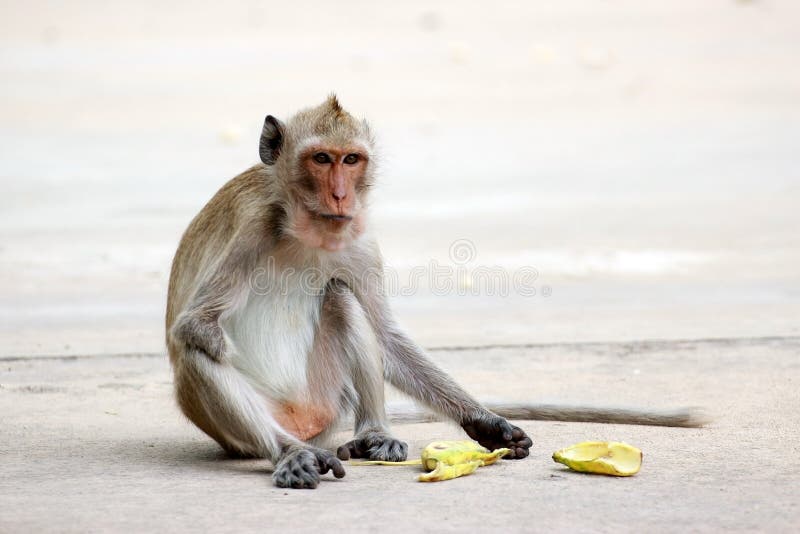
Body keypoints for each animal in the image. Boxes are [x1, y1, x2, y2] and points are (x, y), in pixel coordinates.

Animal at [165, 96, 705, 489]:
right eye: (320, 159)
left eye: (351, 160)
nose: (341, 195)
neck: (309, 234)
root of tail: (311, 424)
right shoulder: (253, 231)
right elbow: (197, 329)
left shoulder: (362, 243)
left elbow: (386, 335)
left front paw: (484, 422)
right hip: (252, 426)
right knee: (198, 355)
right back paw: (293, 453)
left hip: (324, 399)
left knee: (342, 296)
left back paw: (373, 435)